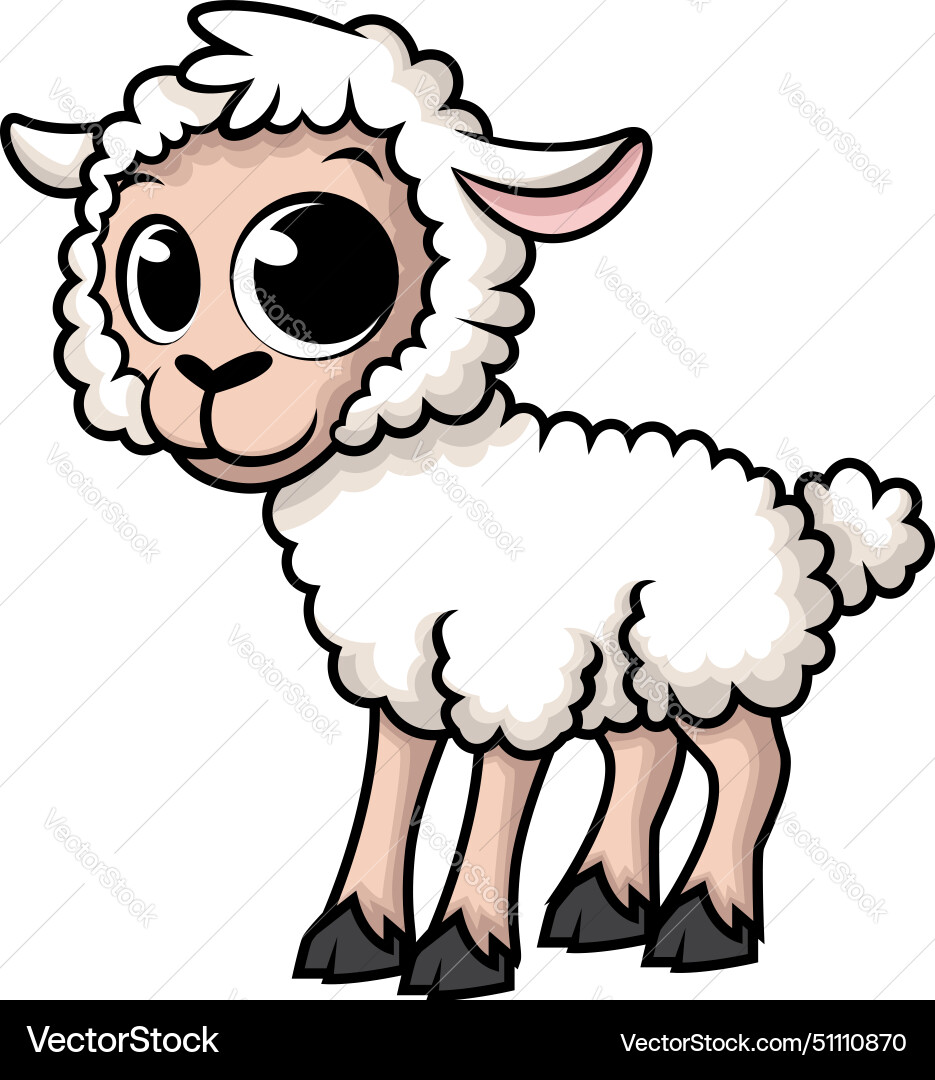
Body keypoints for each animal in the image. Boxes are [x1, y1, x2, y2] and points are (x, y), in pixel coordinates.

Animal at [3, 1, 931, 998]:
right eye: (158, 269)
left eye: (315, 268)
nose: (209, 377)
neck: (420, 472)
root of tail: (794, 516)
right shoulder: (395, 651)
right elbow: (394, 780)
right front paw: (355, 934)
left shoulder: (508, 653)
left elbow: (497, 787)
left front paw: (461, 949)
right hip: (630, 661)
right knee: (642, 752)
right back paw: (599, 906)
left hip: (709, 642)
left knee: (752, 757)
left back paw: (704, 924)